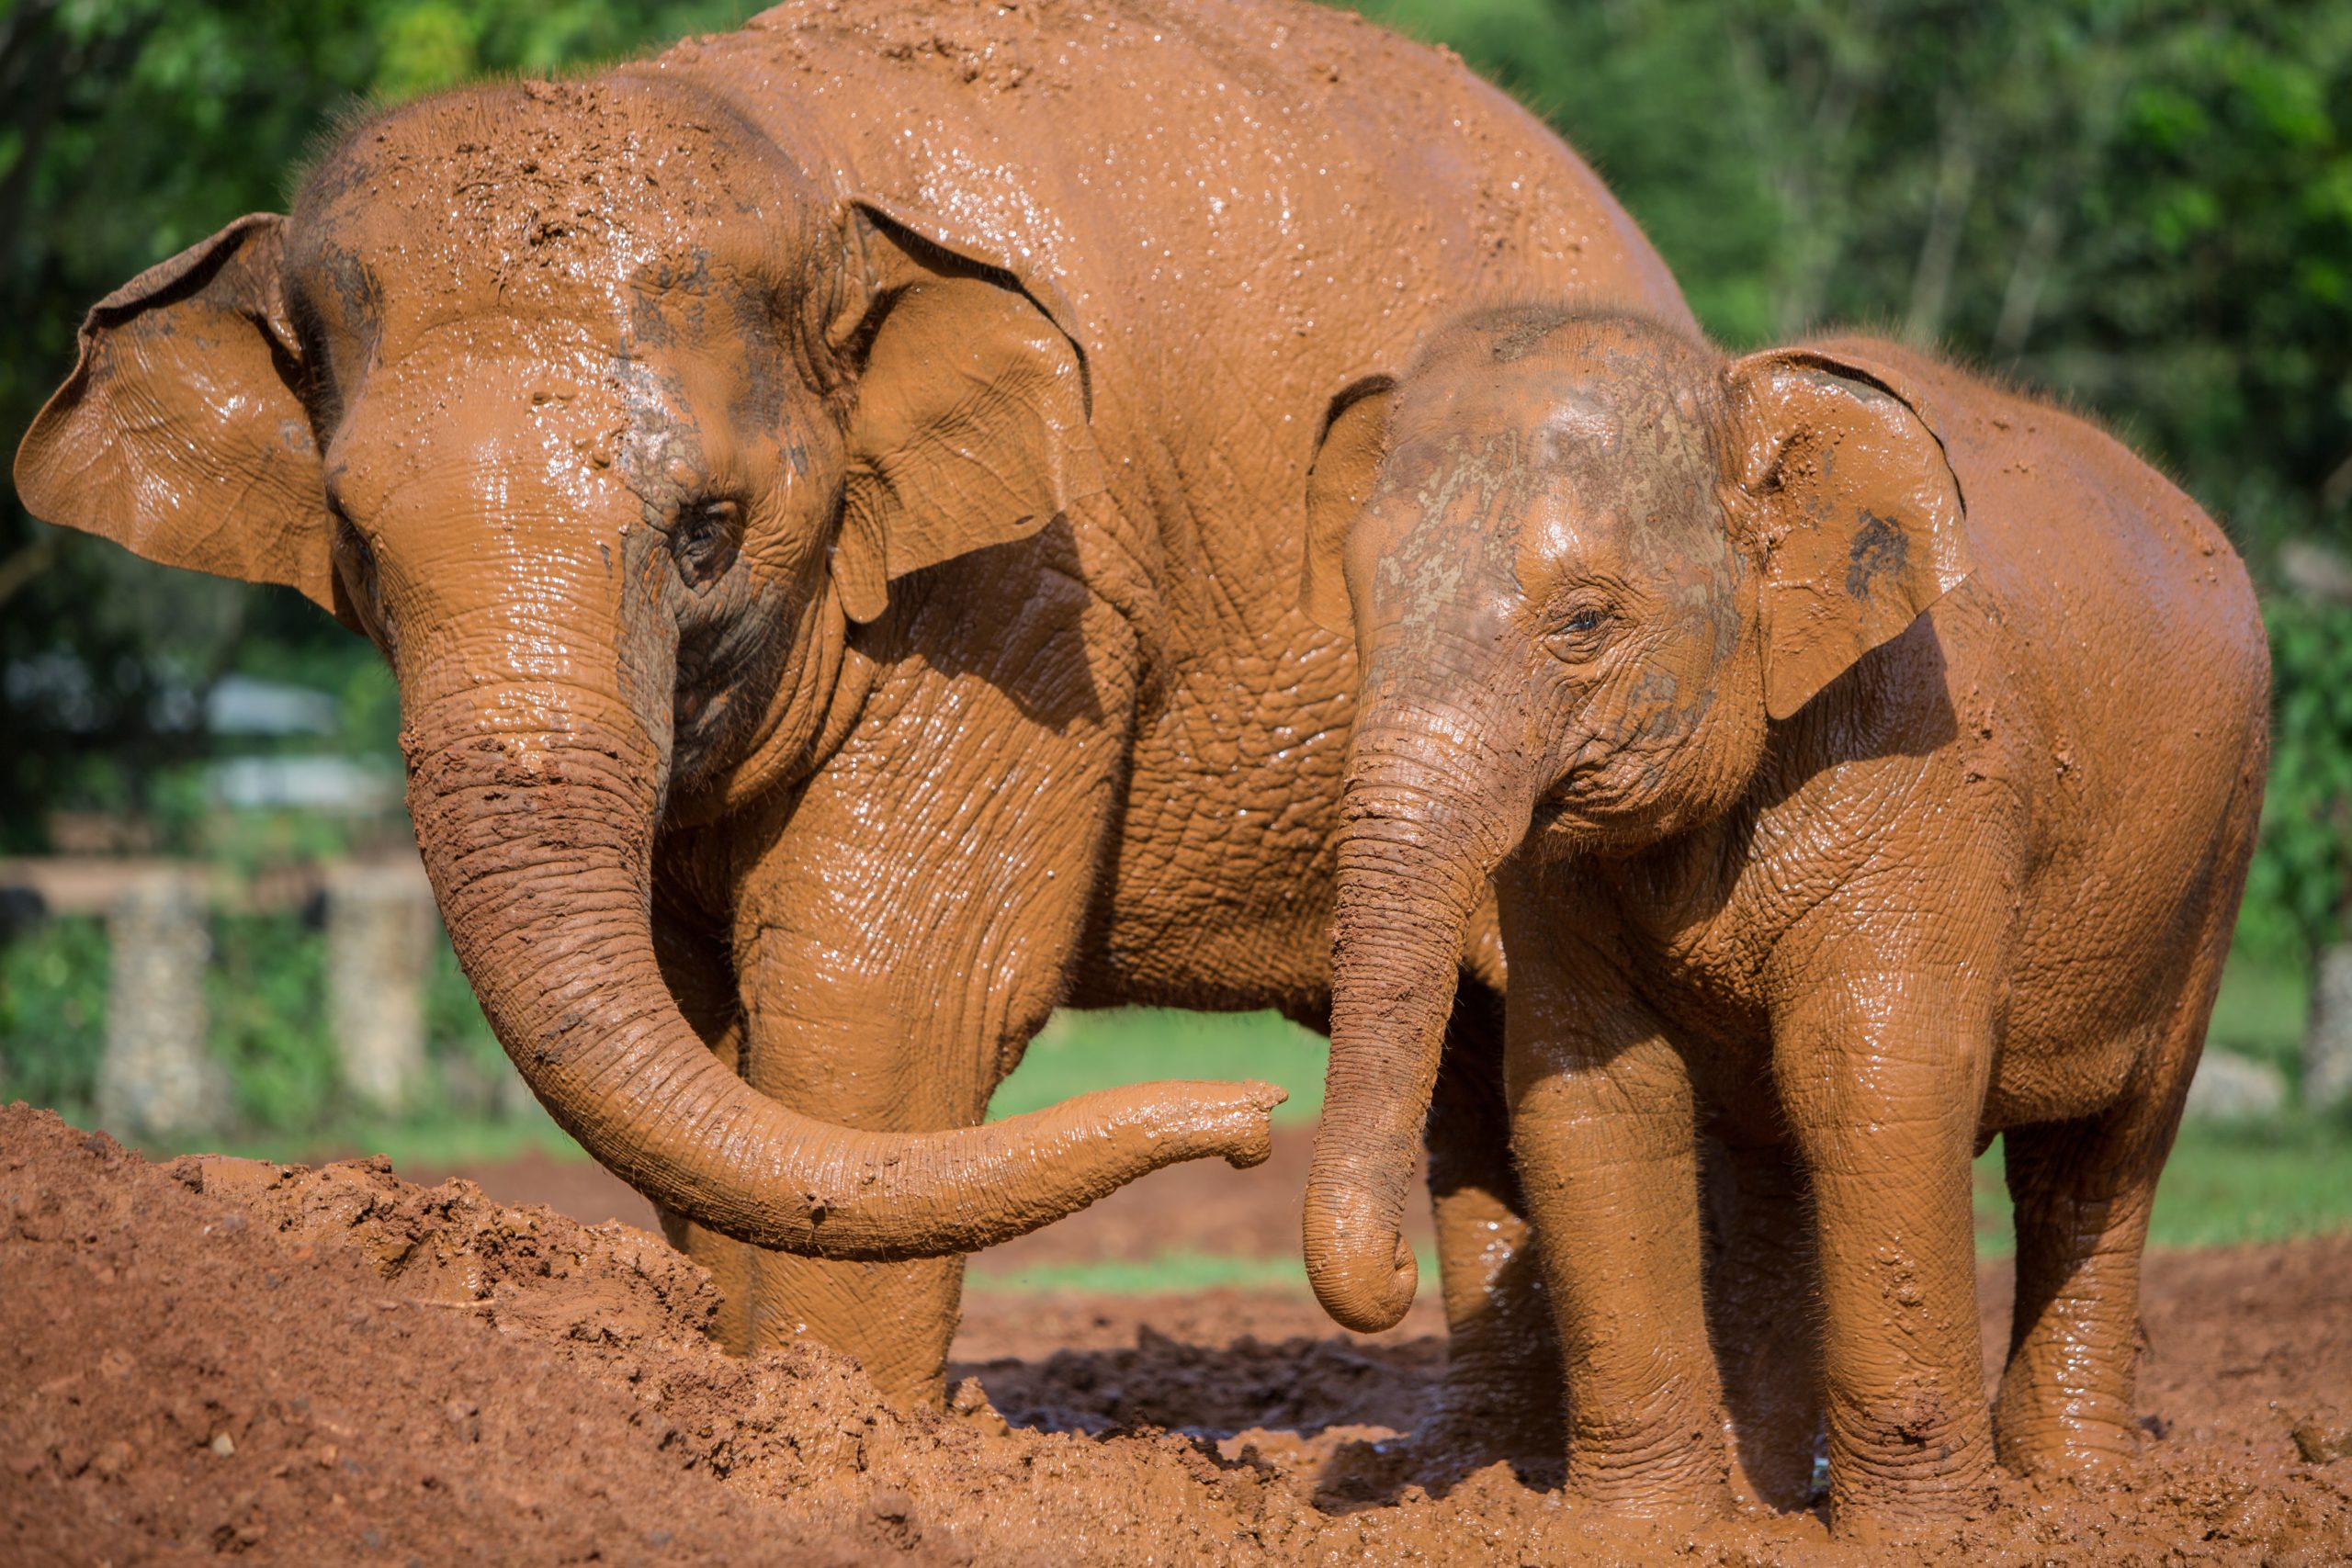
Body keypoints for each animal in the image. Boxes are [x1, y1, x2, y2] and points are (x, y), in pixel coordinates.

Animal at [11, 1, 1693, 1419]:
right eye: (355, 542)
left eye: (706, 530)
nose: (1250, 1120)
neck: (784, 157)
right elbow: (698, 1023)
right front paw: (743, 1410)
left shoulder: (1040, 584)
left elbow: (878, 1000)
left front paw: (851, 1443)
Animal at [1294, 304, 2268, 1531]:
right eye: (1363, 608)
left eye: (1582, 621)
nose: (1395, 1277)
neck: (1728, 389)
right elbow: (1592, 1094)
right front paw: (1641, 1531)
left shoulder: (1932, 762)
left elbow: (1871, 1075)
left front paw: (1922, 1538)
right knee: (1770, 1168)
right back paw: (1762, 1494)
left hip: (2215, 859)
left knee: (2100, 1158)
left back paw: (2075, 1489)